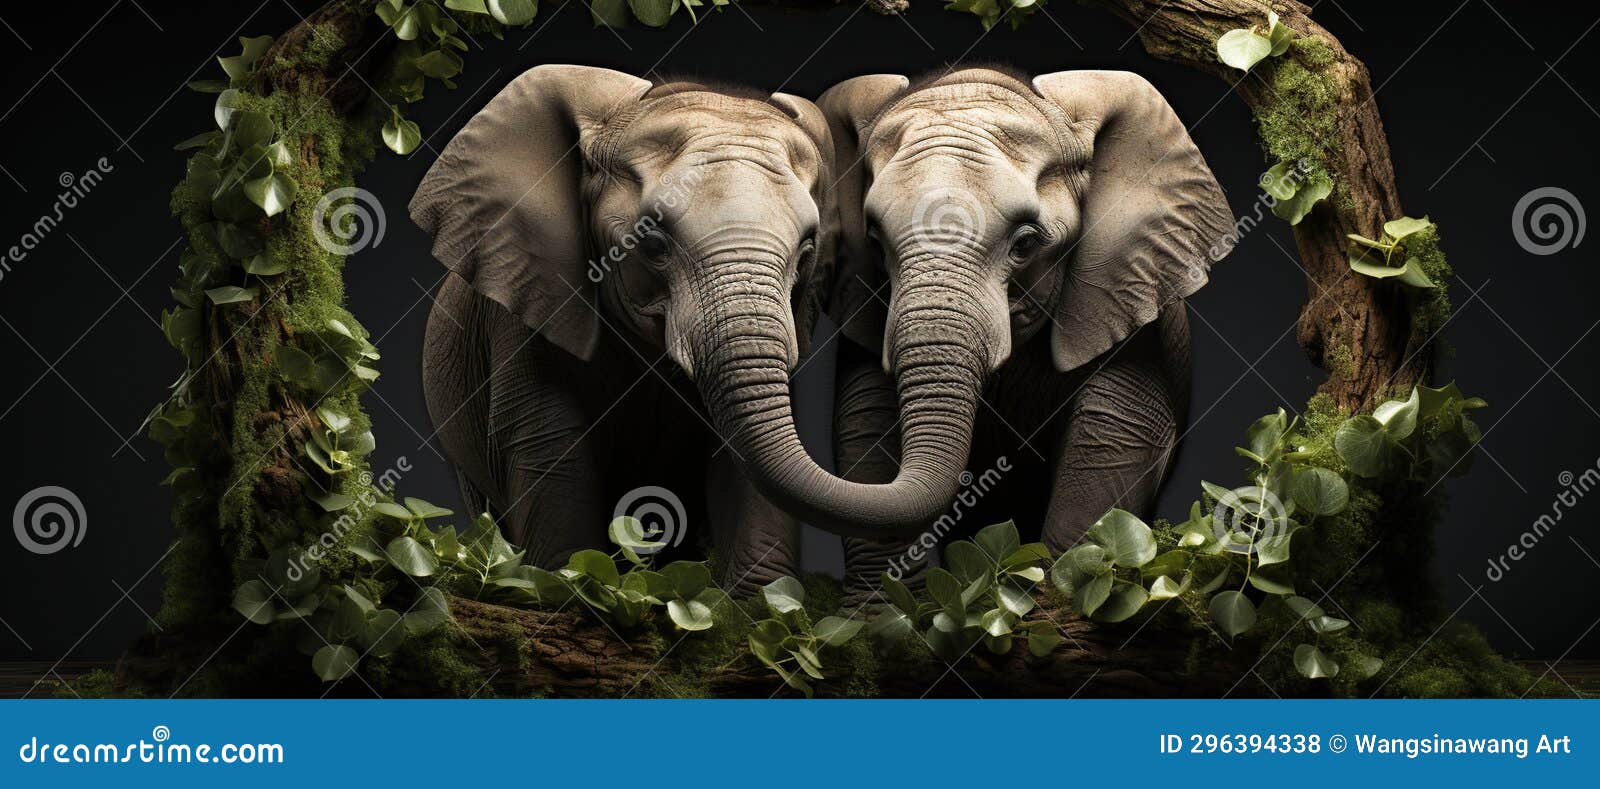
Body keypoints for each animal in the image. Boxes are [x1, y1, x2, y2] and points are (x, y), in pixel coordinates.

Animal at [815, 67, 1234, 600]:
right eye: (874, 241)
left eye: (1027, 244)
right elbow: (864, 423)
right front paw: (880, 605)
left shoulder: (1130, 291)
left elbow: (1117, 436)